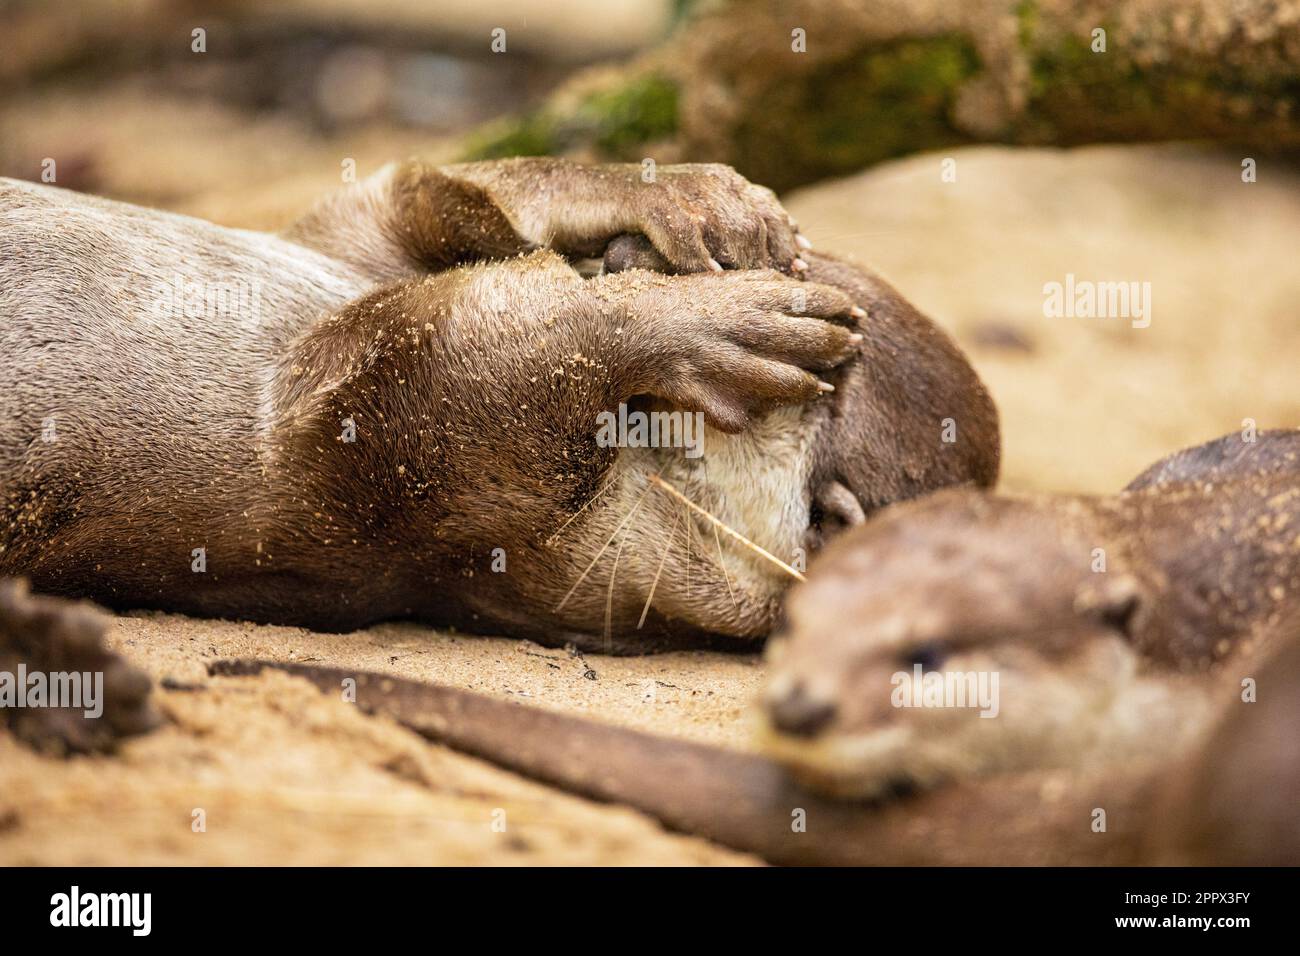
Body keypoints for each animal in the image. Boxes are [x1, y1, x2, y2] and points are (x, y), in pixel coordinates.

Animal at [0, 159, 998, 651]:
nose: (625, 258)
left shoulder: (424, 493)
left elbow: (469, 360)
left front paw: (707, 326)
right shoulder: (334, 244)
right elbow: (416, 192)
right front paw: (675, 196)